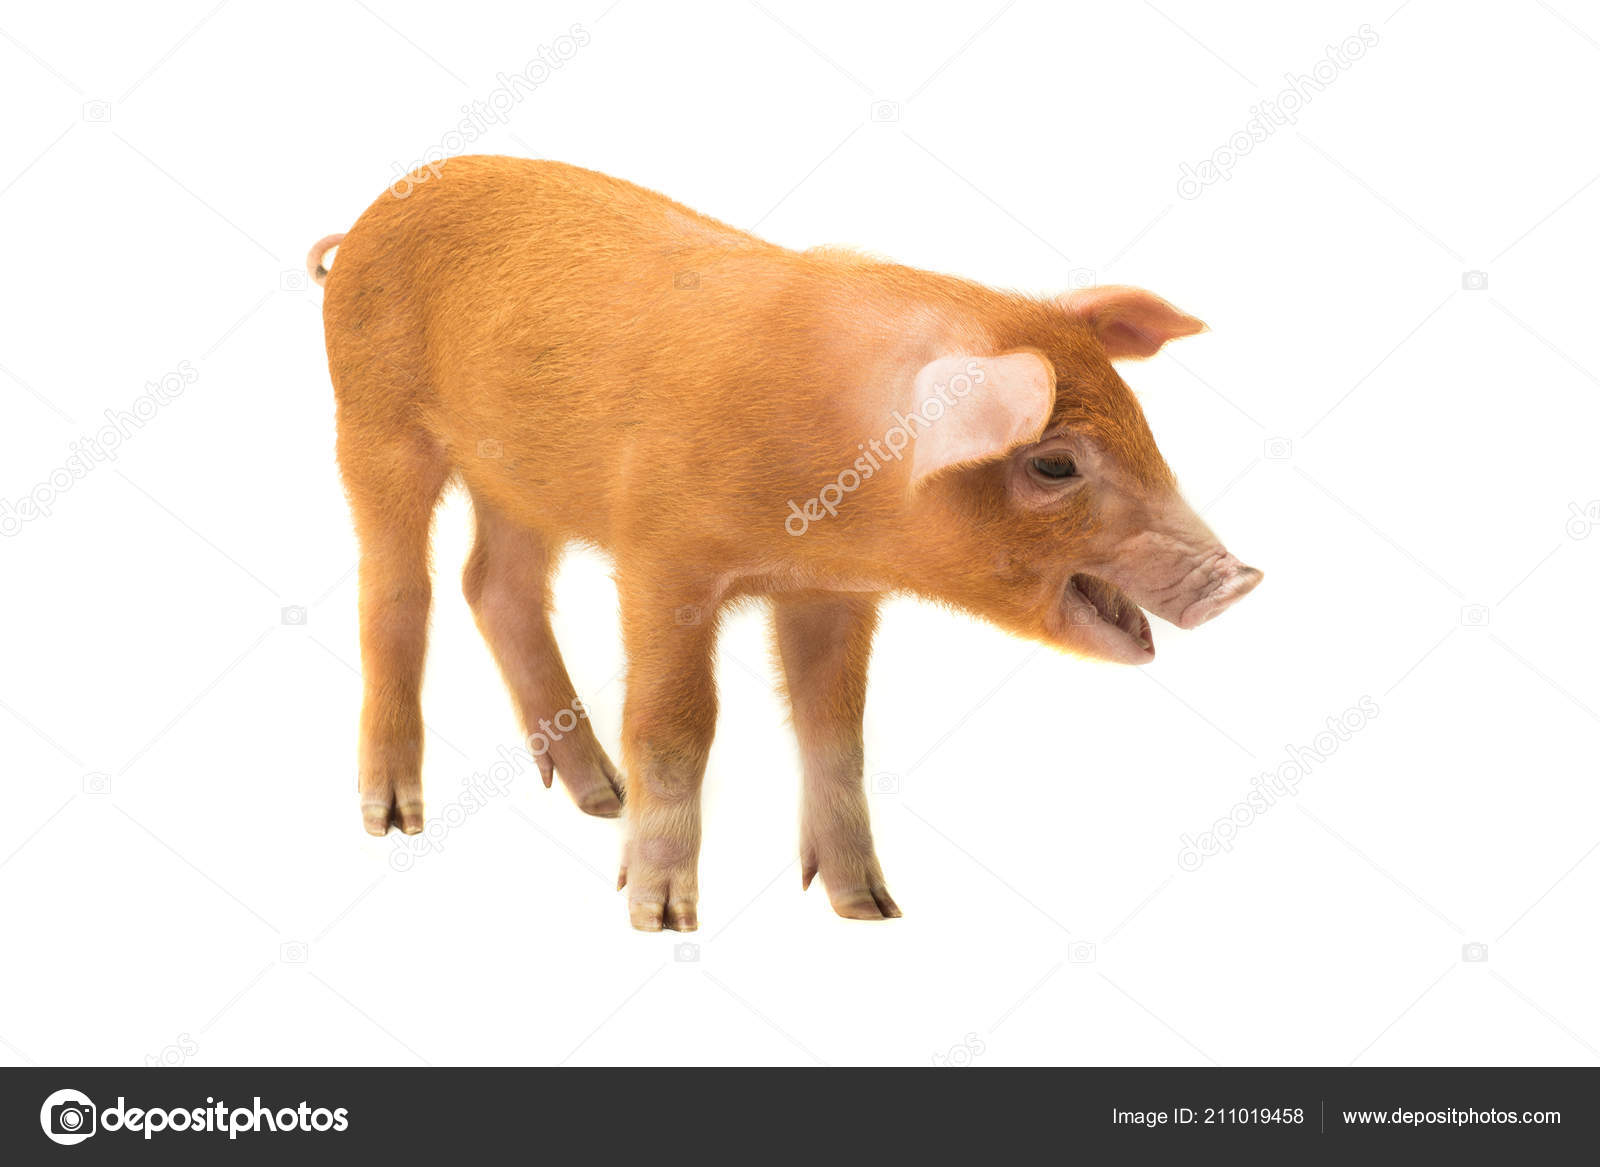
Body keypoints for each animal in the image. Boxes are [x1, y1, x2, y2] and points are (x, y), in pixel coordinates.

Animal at [310, 155, 1261, 932]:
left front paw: (871, 909)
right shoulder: (661, 562)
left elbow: (838, 733)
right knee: (397, 589)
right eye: (1056, 463)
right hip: (374, 421)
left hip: (518, 478)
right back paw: (395, 818)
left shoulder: (831, 592)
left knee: (494, 584)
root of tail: (362, 223)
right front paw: (662, 918)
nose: (1241, 577)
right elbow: (677, 723)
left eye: (1143, 427)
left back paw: (599, 797)